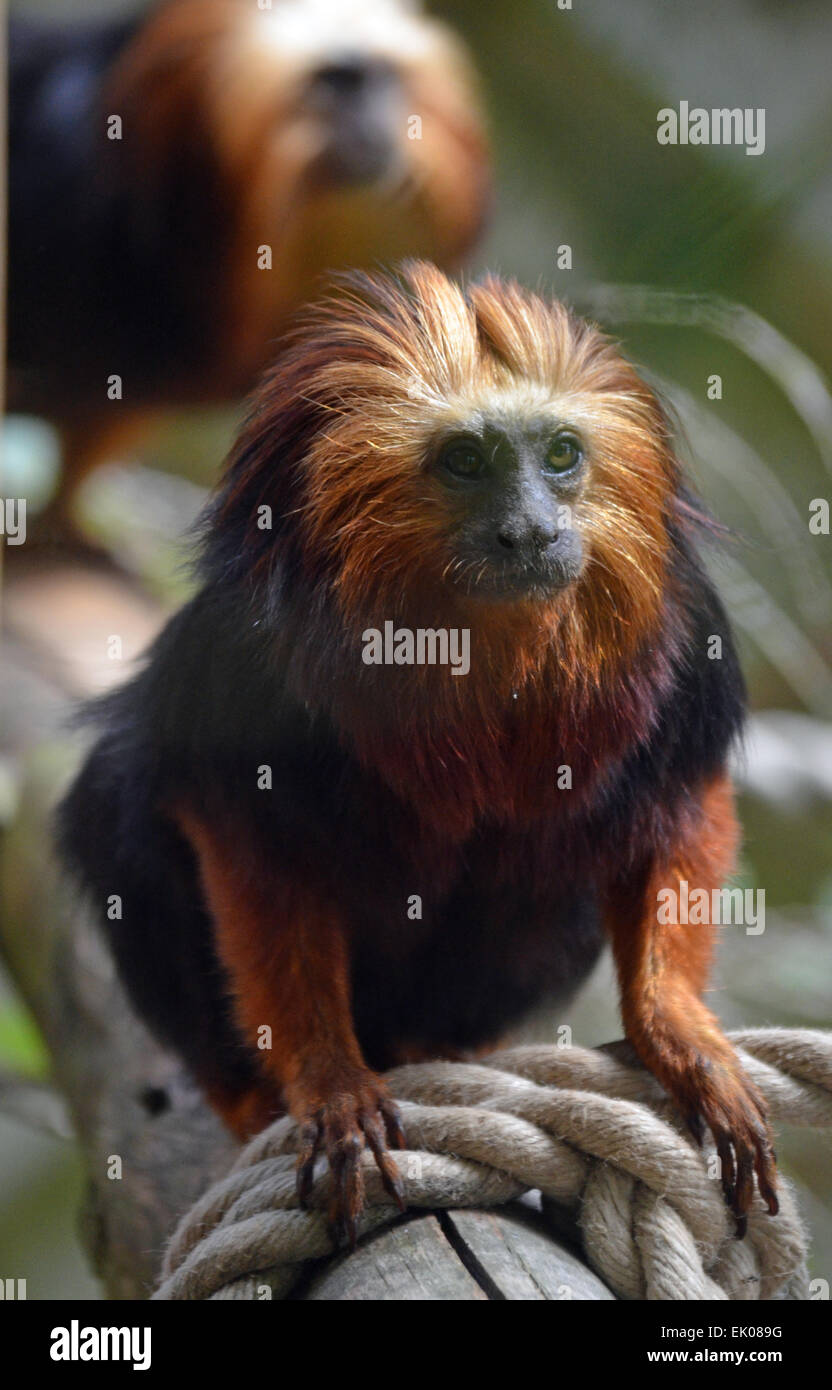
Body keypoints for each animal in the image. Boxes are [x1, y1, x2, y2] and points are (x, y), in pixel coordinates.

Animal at [57, 262, 779, 1246]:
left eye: (561, 455)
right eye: (466, 462)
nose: (532, 530)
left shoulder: (689, 648)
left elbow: (685, 811)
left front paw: (681, 1036)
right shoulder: (243, 663)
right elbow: (244, 843)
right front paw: (327, 1082)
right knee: (116, 809)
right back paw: (250, 1098)